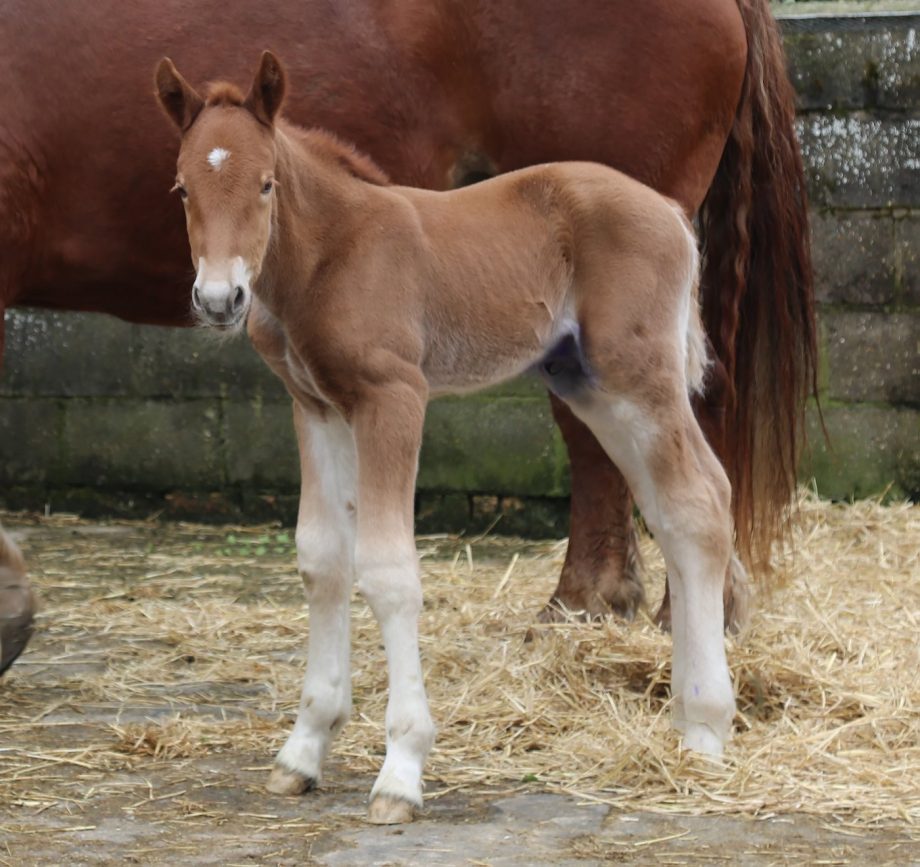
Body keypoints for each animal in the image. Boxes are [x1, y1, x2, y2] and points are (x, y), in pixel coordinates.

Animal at [155, 50, 742, 824]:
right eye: (183, 187)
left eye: (266, 183)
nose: (220, 300)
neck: (333, 252)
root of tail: (673, 213)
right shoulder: (316, 406)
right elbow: (322, 559)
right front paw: (303, 751)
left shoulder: (394, 397)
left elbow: (389, 570)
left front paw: (400, 771)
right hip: (591, 384)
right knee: (682, 509)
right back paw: (690, 720)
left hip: (637, 378)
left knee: (698, 504)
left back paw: (704, 730)